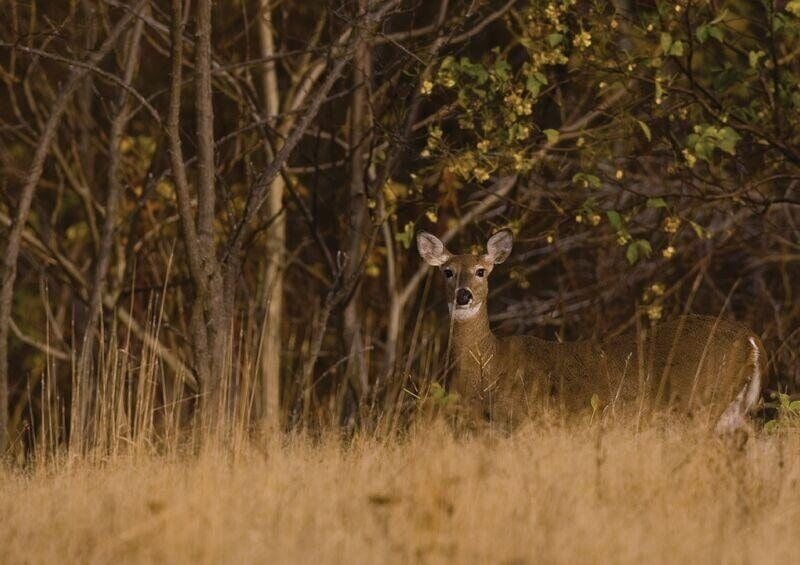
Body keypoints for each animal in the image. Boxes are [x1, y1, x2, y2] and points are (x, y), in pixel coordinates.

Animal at [417, 229, 767, 433]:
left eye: (481, 271)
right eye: (447, 272)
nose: (464, 295)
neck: (490, 365)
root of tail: (750, 339)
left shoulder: (528, 419)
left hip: (699, 402)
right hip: (731, 411)